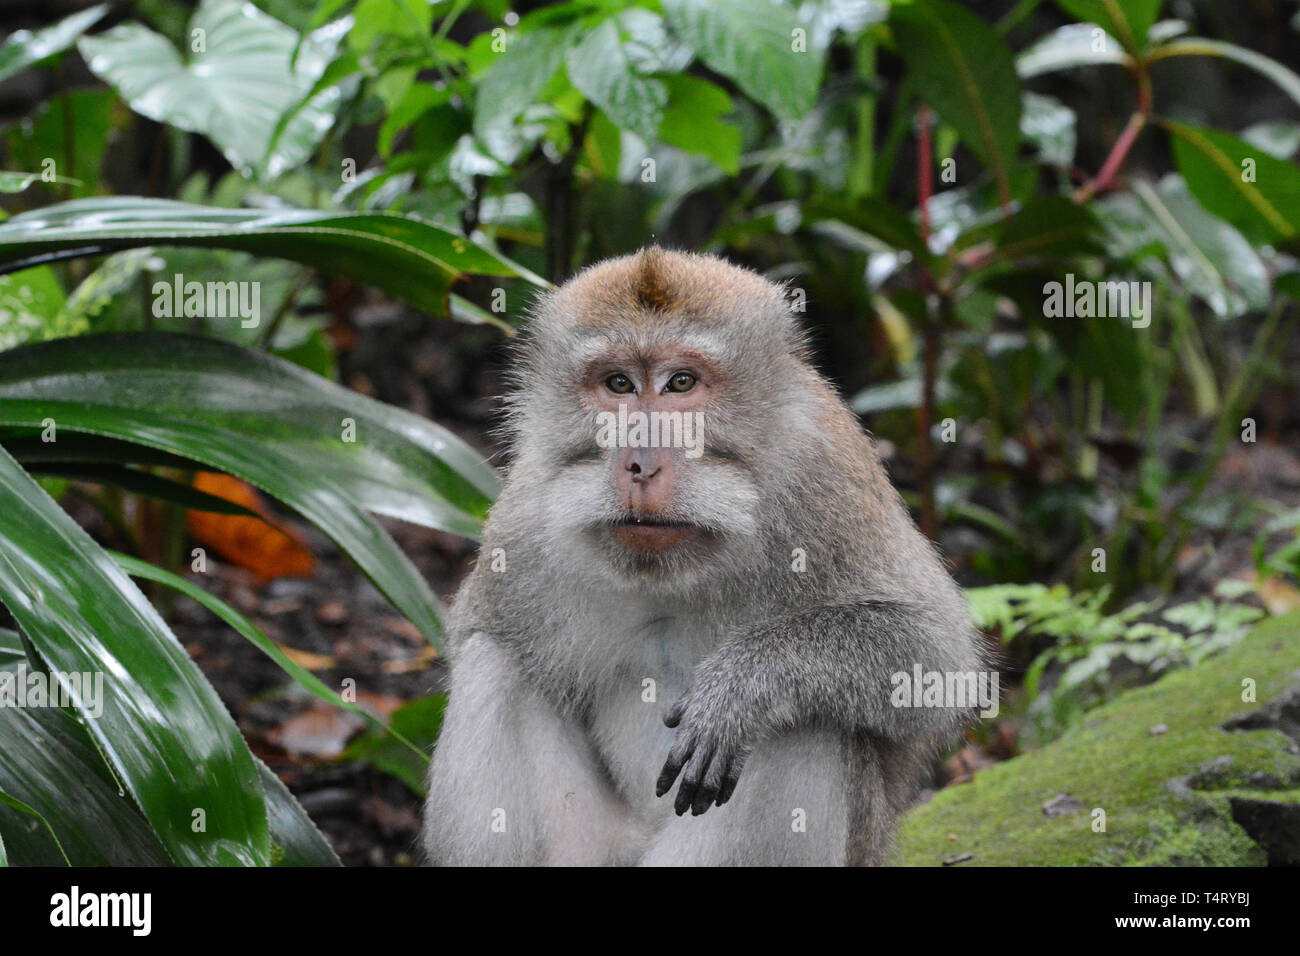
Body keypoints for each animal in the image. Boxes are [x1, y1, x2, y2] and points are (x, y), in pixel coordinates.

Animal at [422, 247, 985, 866]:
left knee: (805, 726)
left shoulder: (824, 476)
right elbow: (476, 634)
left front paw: (743, 682)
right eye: (619, 383)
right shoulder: (526, 509)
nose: (641, 462)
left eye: (681, 383)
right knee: (492, 662)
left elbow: (935, 659)